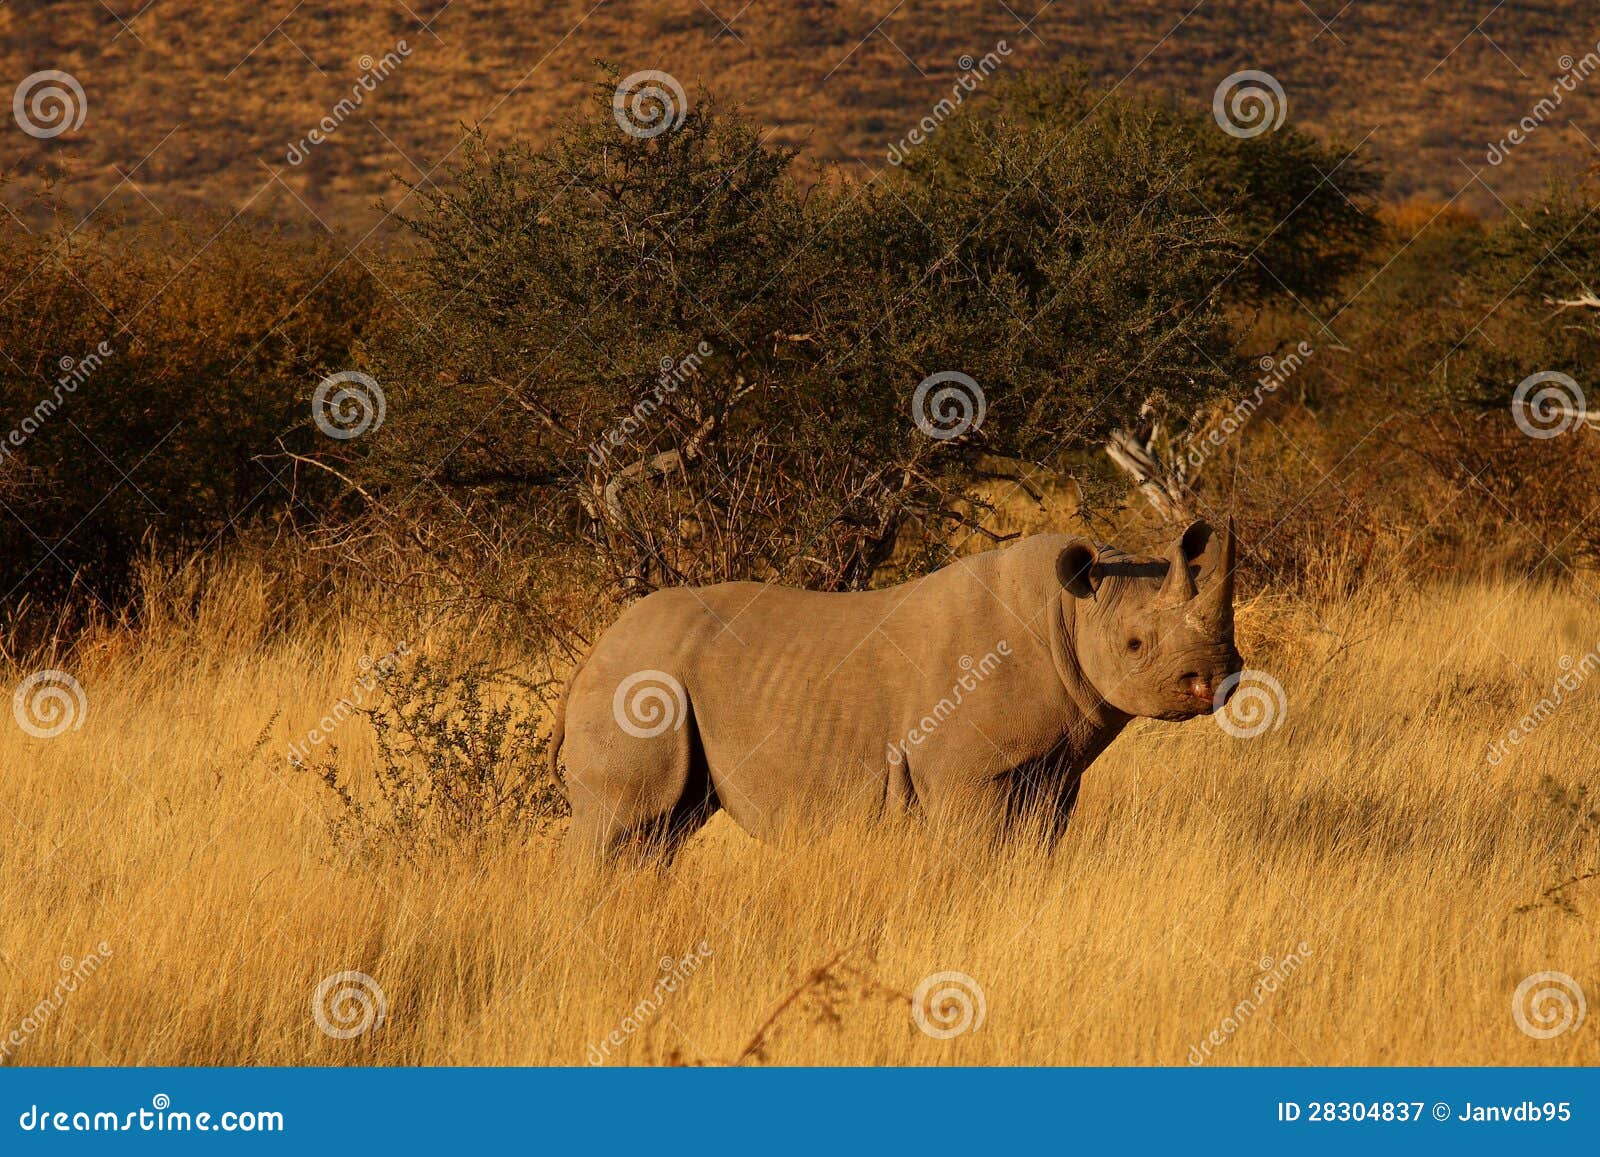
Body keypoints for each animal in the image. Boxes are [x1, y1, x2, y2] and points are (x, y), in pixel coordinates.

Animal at [551, 519, 1242, 862]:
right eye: (1135, 646)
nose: (1214, 680)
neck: (1067, 614)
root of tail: (591, 657)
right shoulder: (967, 774)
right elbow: (975, 857)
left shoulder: (1053, 768)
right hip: (640, 681)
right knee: (624, 824)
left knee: (660, 831)